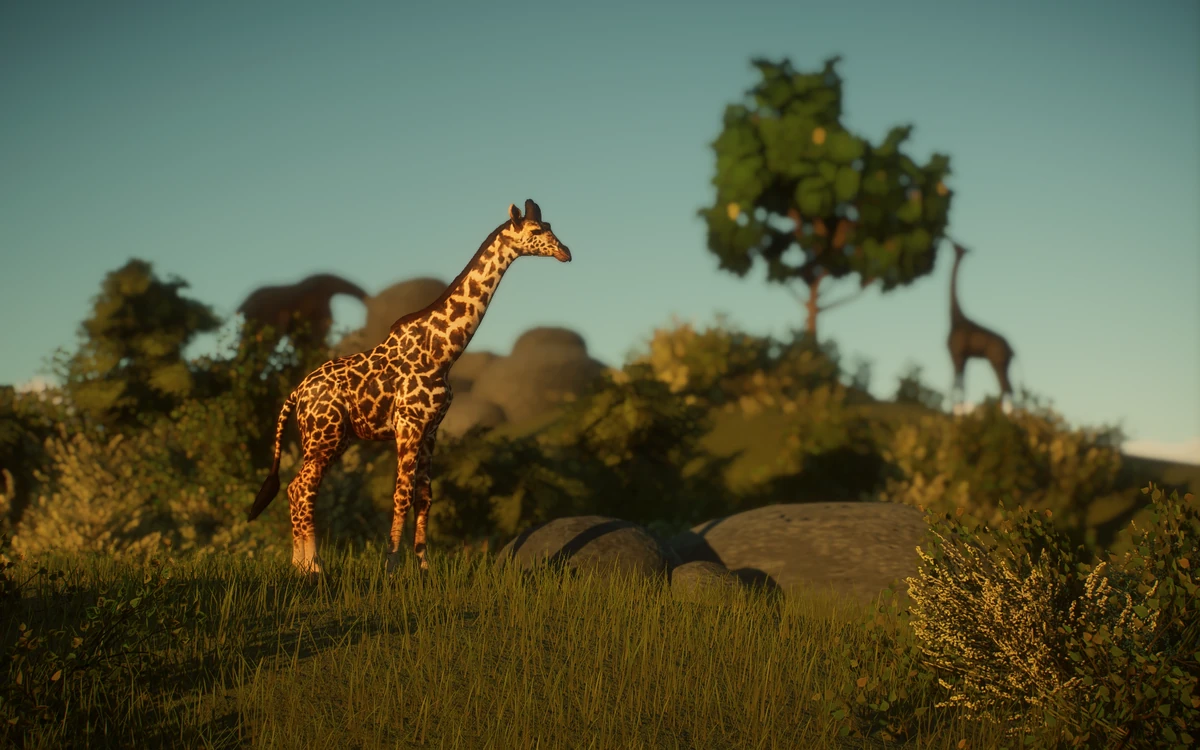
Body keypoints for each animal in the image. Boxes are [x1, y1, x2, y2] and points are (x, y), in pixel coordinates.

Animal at [246, 200, 572, 574]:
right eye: (535, 230)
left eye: (550, 225)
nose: (566, 253)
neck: (443, 351)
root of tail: (297, 393)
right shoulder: (409, 425)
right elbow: (401, 495)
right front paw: (391, 569)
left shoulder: (431, 430)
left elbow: (425, 497)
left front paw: (424, 569)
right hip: (324, 437)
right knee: (303, 488)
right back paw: (313, 567)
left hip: (330, 439)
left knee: (294, 488)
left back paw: (299, 566)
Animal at [946, 239, 1016, 414]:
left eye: (959, 247)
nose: (952, 243)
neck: (954, 318)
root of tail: (1013, 351)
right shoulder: (964, 358)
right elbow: (961, 384)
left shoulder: (956, 354)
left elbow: (956, 385)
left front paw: (953, 412)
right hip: (1002, 365)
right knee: (1008, 388)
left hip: (997, 362)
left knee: (1005, 388)